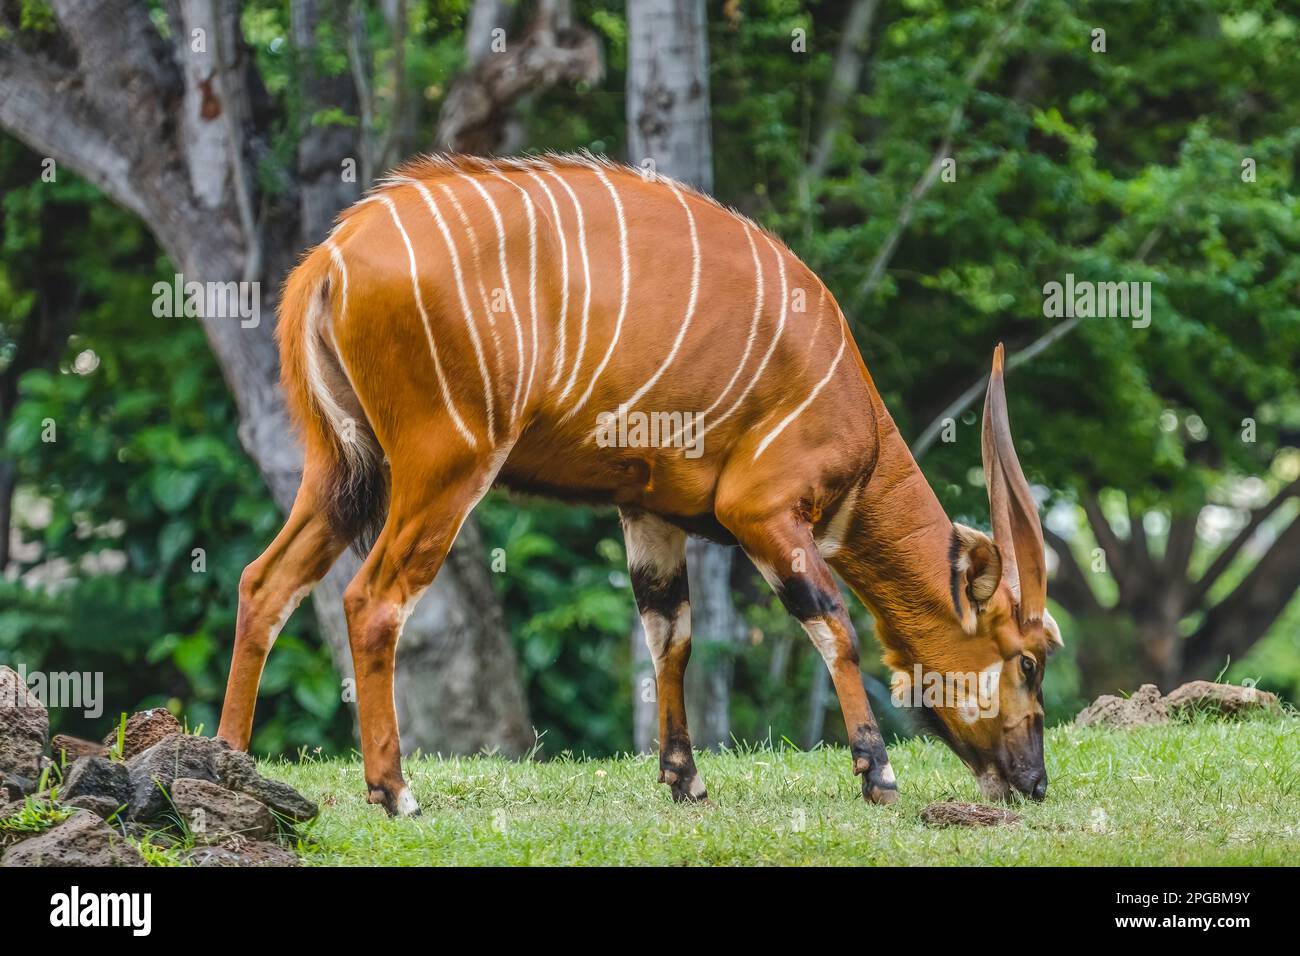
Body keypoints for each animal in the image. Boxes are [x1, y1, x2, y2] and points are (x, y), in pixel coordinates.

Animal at [216, 153, 1060, 815]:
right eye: (1027, 659)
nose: (1035, 782)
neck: (853, 410)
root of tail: (330, 257)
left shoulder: (649, 510)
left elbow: (669, 633)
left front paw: (684, 778)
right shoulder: (763, 510)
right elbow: (832, 623)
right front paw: (877, 773)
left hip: (343, 470)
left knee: (265, 581)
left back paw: (227, 764)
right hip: (445, 463)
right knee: (372, 601)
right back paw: (394, 792)